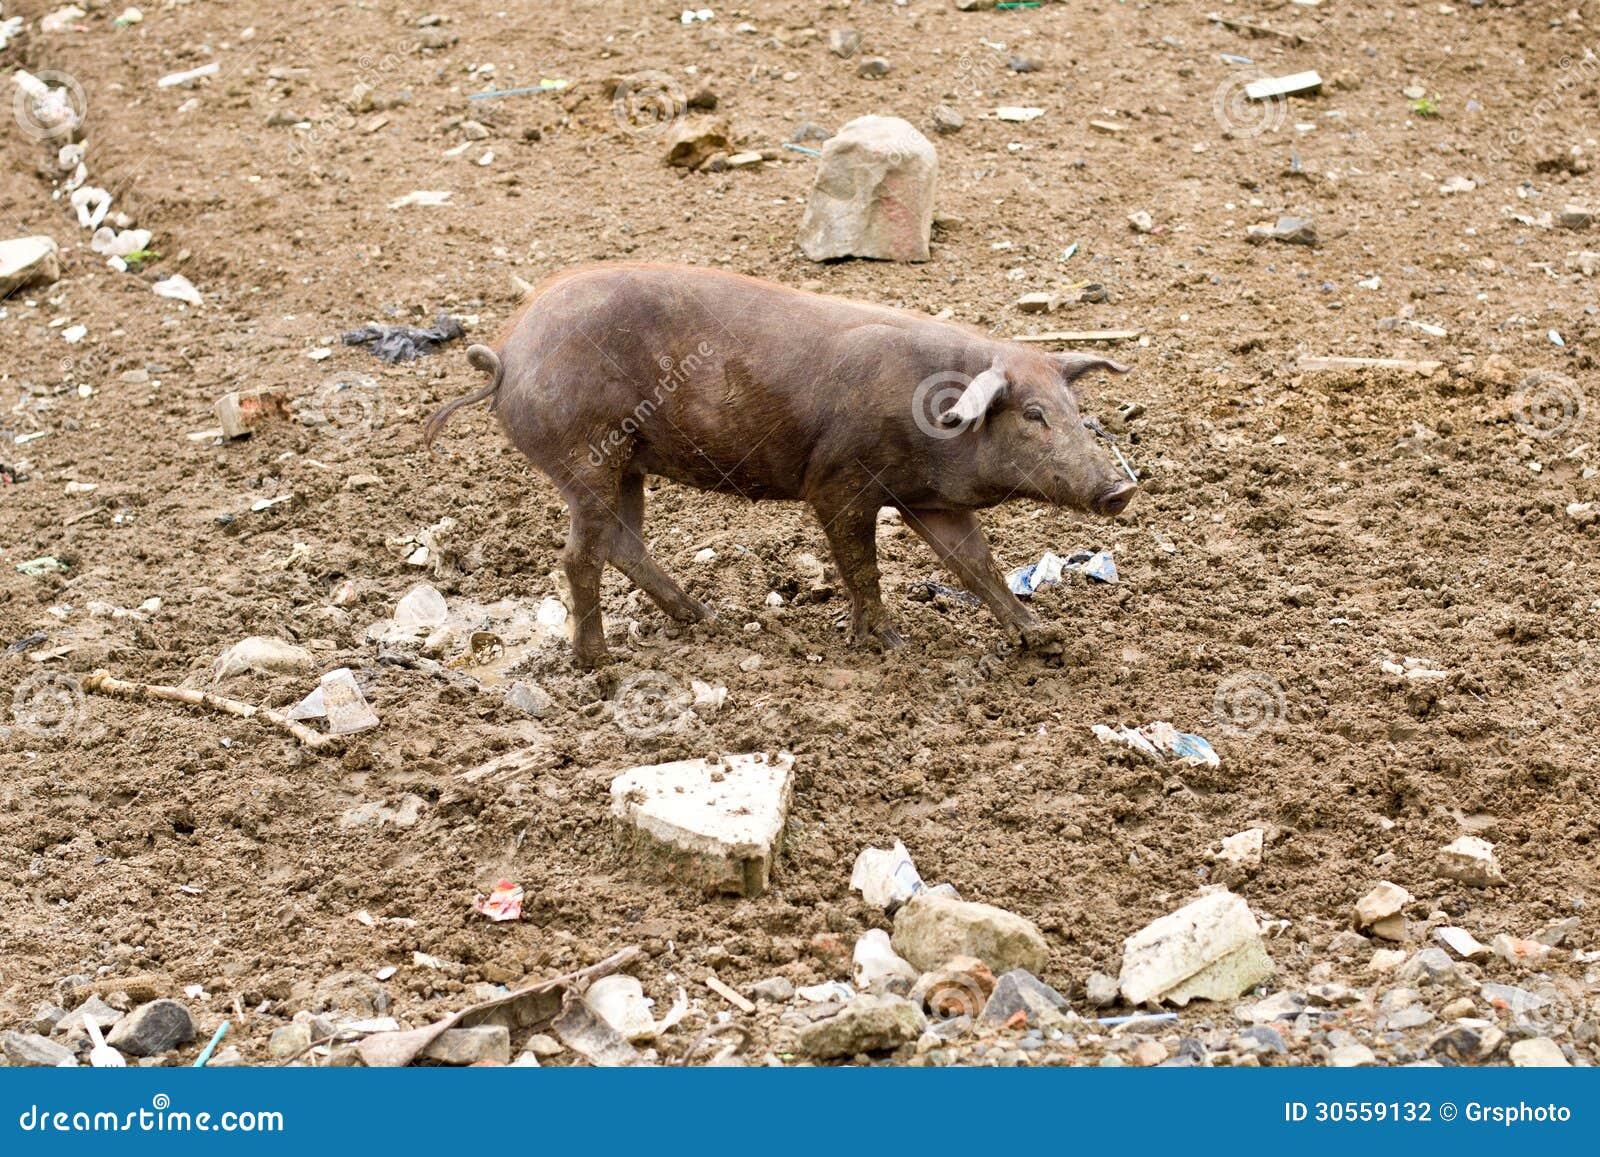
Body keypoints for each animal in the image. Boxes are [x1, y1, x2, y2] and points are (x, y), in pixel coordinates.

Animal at [425, 263, 1136, 667]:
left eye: (1074, 408)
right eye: (1034, 414)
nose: (1121, 489)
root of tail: (507, 353)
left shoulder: (930, 500)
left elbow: (975, 564)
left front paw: (1046, 641)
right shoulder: (838, 483)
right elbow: (862, 564)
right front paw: (889, 647)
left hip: (628, 462)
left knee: (623, 545)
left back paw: (706, 620)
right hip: (587, 453)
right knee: (579, 556)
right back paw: (600, 663)